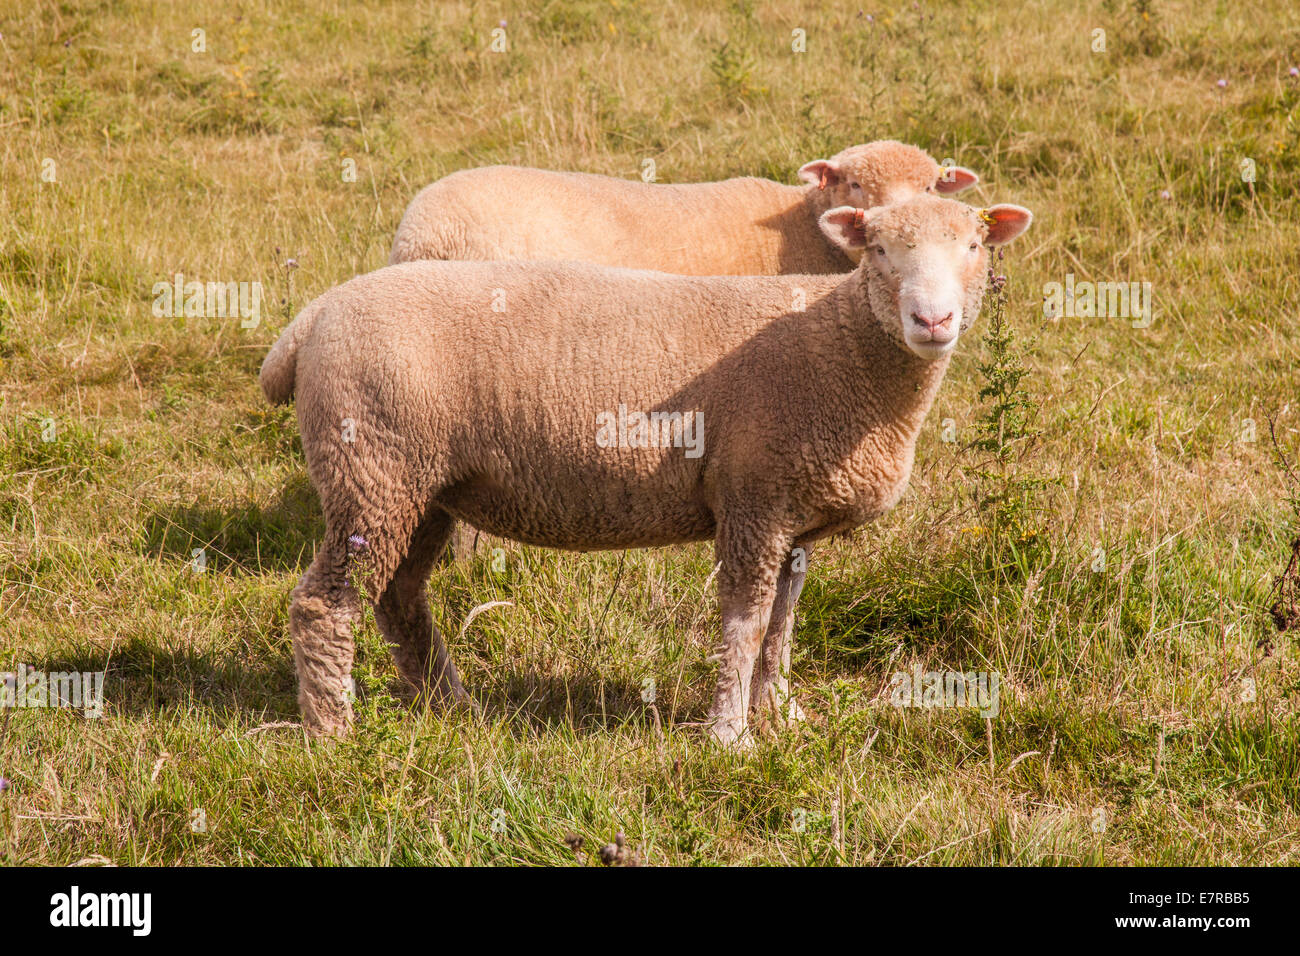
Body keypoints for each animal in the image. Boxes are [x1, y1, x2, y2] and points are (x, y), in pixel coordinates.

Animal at [260, 193, 1032, 745]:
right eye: (876, 248)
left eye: (973, 246)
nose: (933, 321)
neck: (836, 347)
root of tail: (314, 317)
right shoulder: (752, 501)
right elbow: (744, 623)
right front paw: (729, 734)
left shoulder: (793, 515)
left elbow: (782, 625)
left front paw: (781, 714)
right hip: (373, 466)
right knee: (325, 604)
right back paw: (333, 732)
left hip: (420, 485)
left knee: (396, 596)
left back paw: (449, 704)